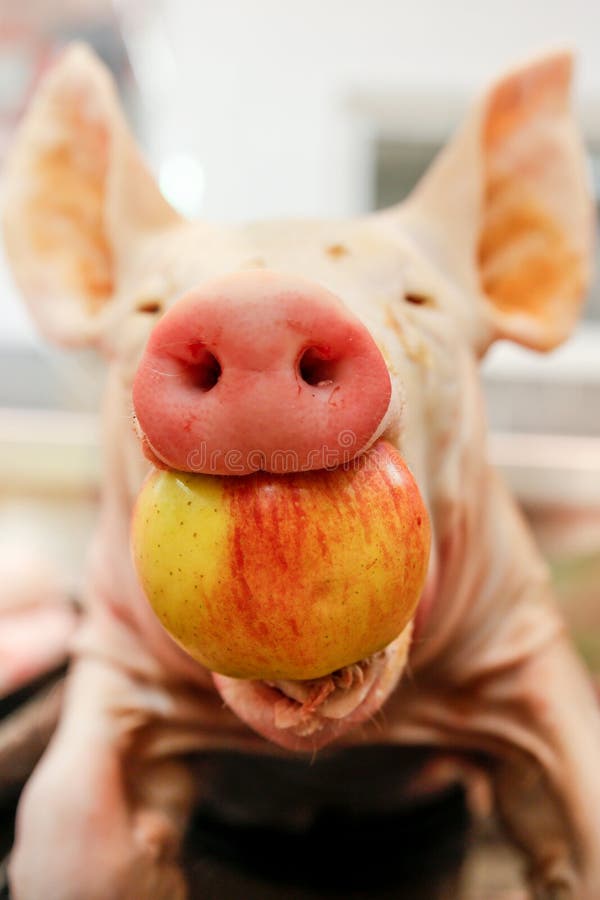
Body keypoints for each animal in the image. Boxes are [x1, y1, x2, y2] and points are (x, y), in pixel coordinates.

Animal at [3, 42, 600, 899]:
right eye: (147, 308)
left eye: (420, 300)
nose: (255, 308)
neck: (328, 758)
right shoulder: (108, 658)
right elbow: (69, 833)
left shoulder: (523, 629)